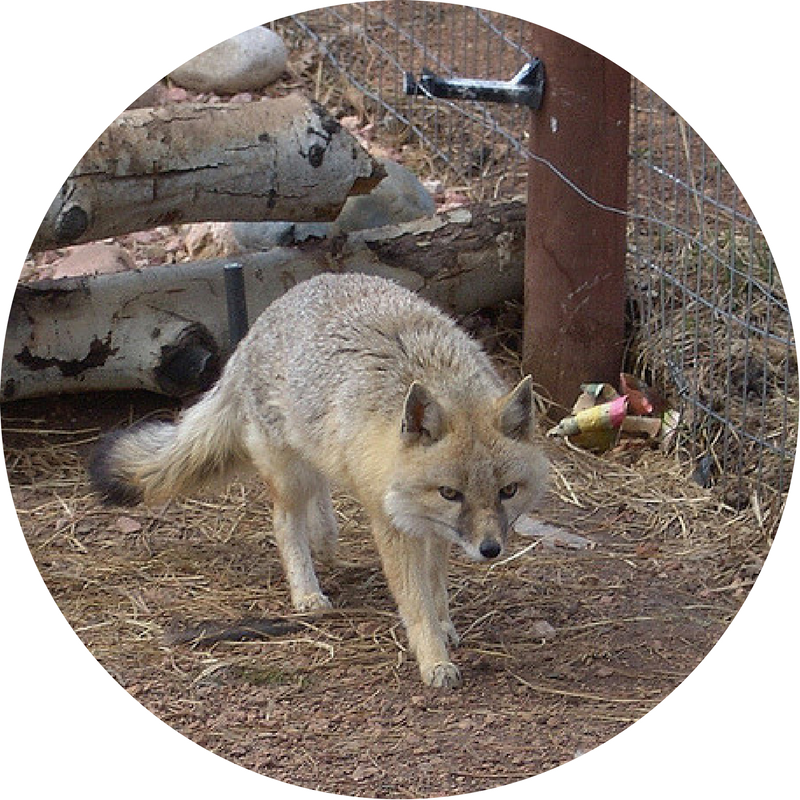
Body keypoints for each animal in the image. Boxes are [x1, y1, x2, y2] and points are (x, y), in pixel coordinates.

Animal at [89, 272, 549, 688]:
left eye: (507, 491)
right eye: (451, 493)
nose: (490, 550)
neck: (437, 375)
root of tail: (256, 328)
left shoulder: (433, 528)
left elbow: (436, 586)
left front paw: (445, 625)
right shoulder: (394, 525)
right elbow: (415, 601)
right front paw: (434, 658)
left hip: (315, 455)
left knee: (321, 489)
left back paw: (325, 536)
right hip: (289, 475)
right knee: (284, 523)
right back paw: (306, 590)